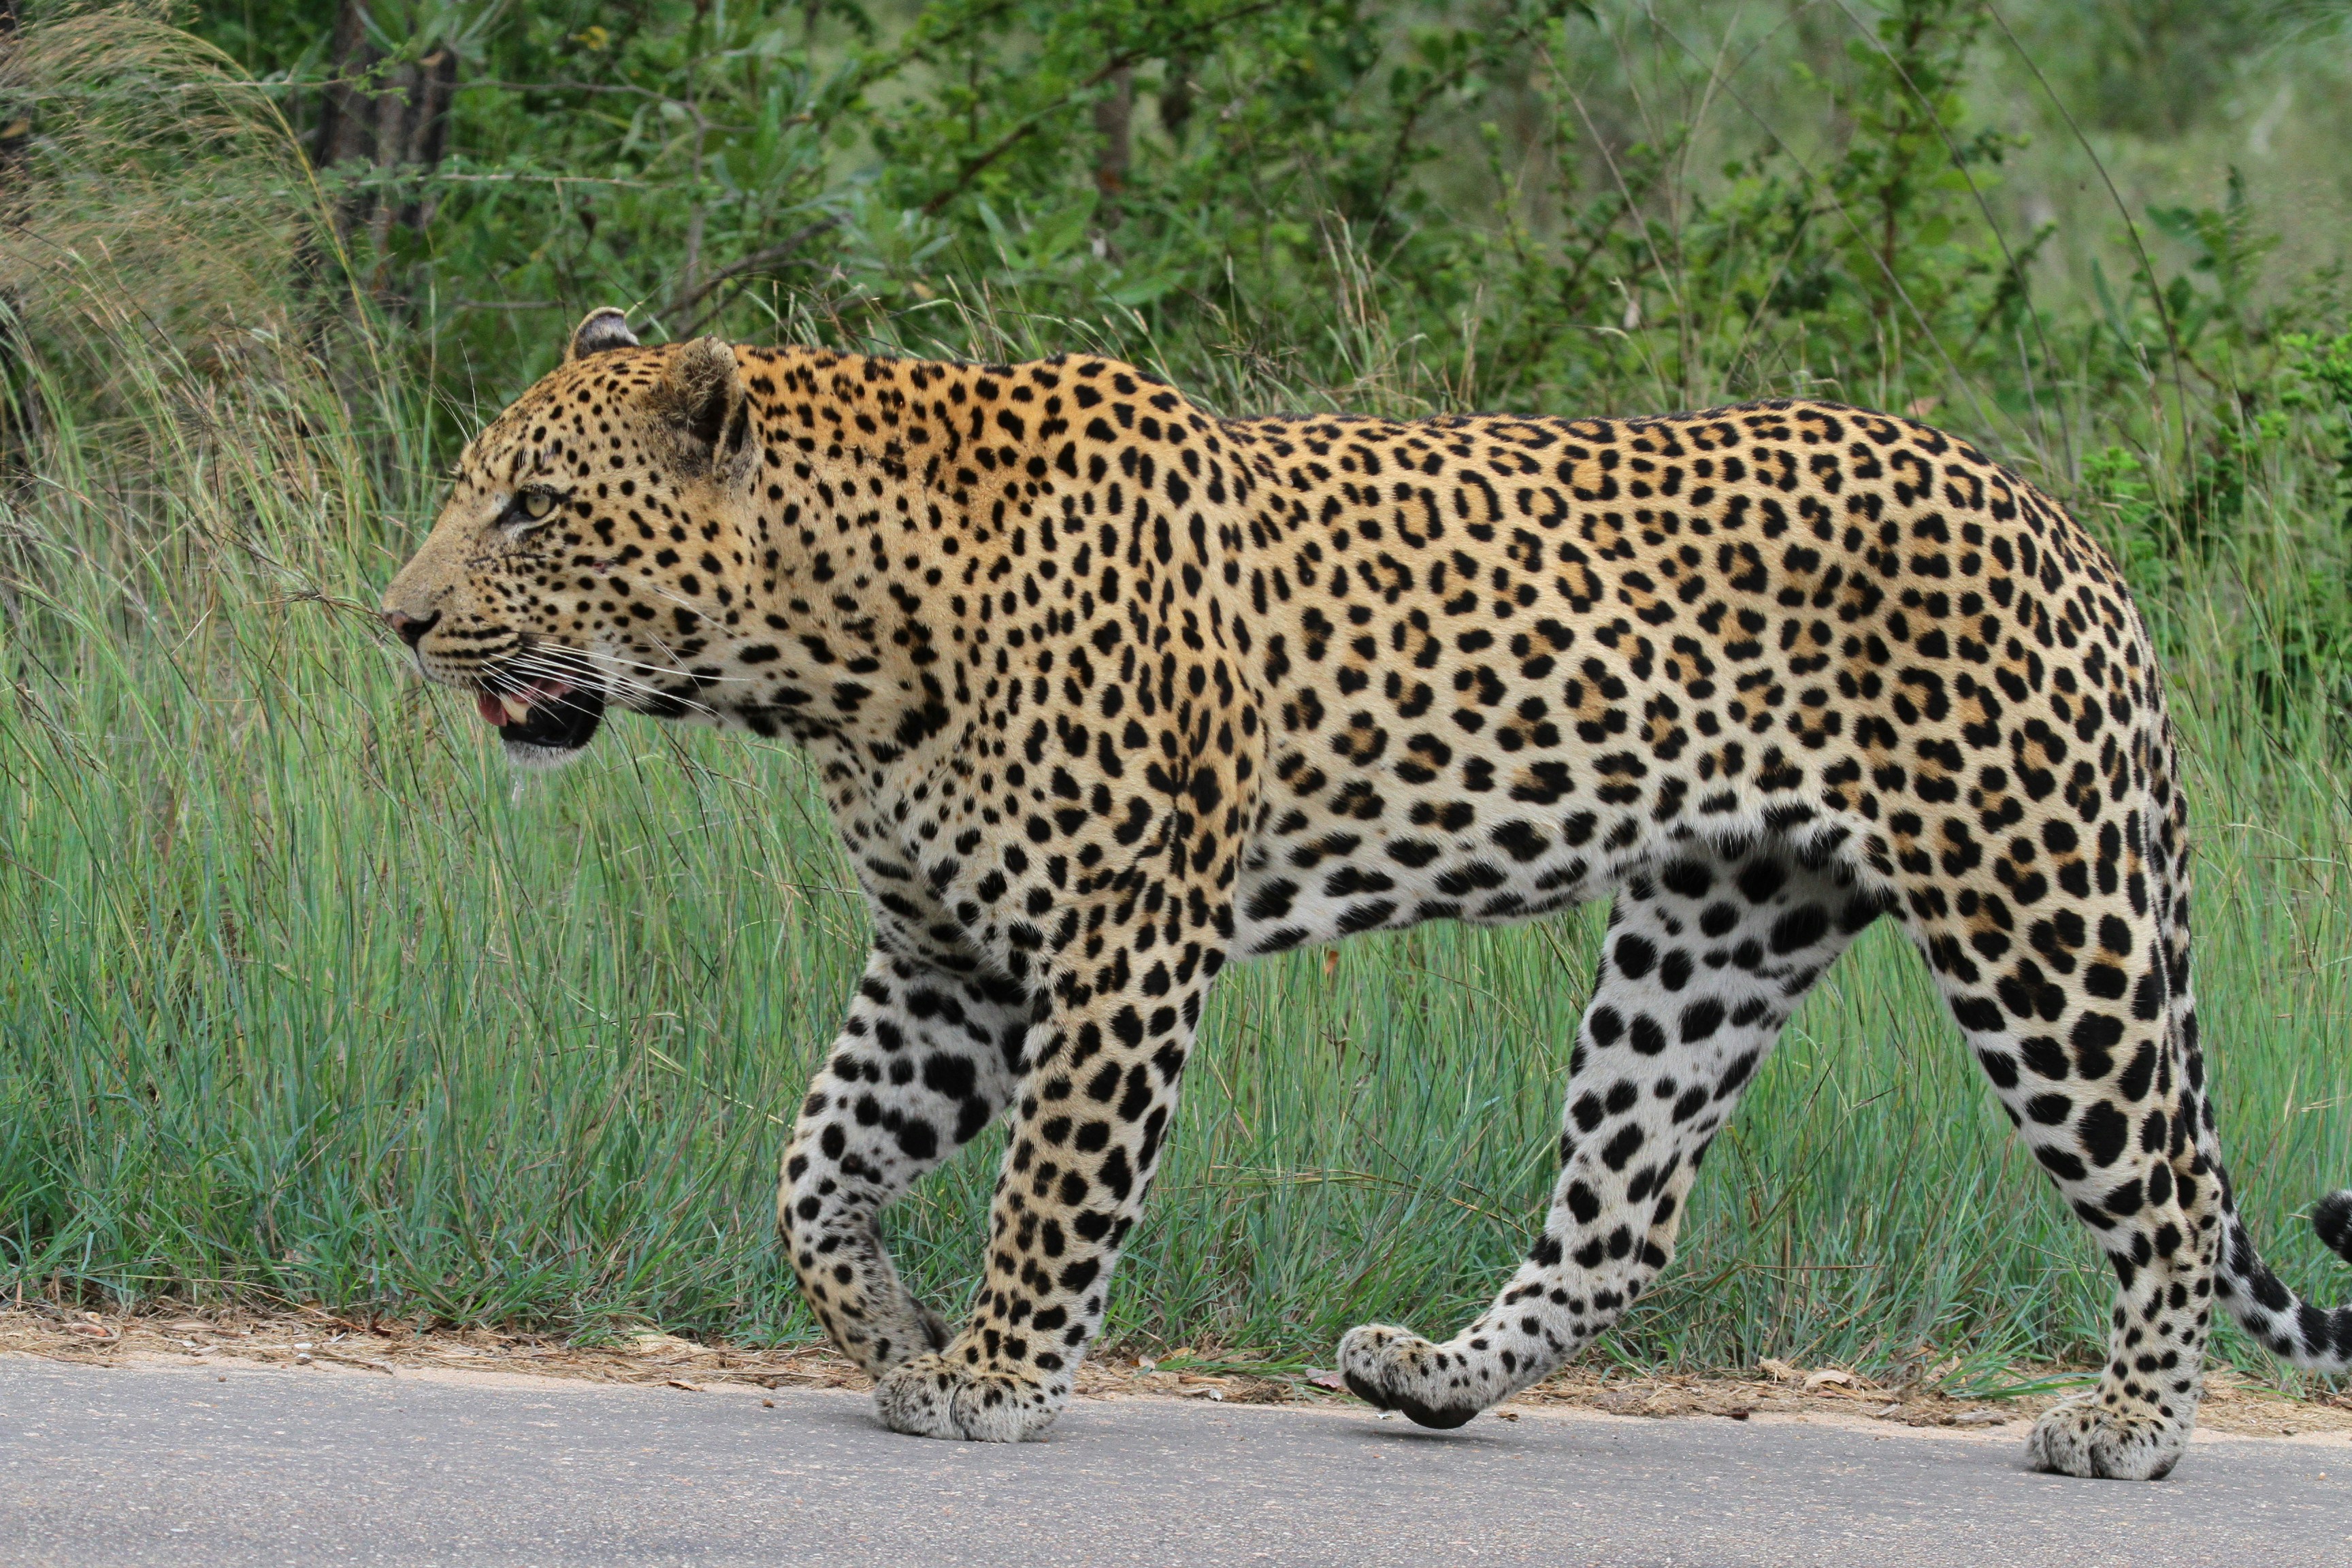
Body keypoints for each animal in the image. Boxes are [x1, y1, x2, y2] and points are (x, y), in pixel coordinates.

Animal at [380, 306, 2352, 1480]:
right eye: (474, 493)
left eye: (532, 508)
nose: (398, 620)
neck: (832, 653)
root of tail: (2059, 521)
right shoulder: (946, 957)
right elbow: (810, 1171)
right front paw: (890, 1334)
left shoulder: (1118, 937)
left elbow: (1054, 1189)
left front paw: (999, 1372)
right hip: (1714, 930)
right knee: (1623, 1218)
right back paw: (1433, 1379)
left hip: (2039, 913)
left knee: (2172, 1191)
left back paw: (2127, 1425)